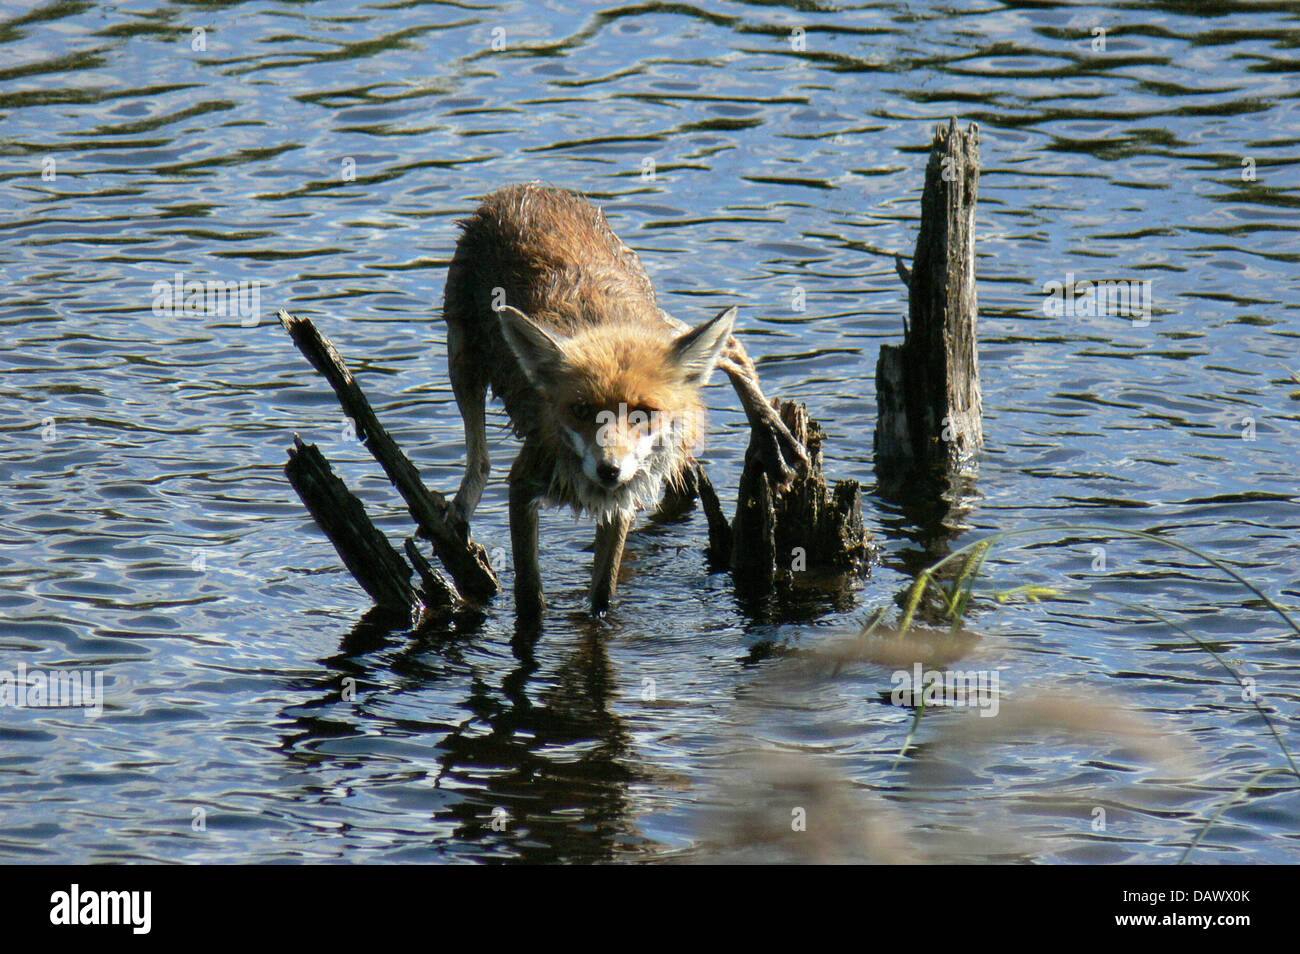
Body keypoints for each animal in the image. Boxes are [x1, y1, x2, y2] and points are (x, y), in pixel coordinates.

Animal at [442, 183, 807, 619]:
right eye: (581, 411)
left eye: (644, 413)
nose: (609, 470)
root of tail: (524, 189)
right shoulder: (524, 482)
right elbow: (530, 593)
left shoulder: (623, 500)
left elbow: (603, 592)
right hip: (462, 358)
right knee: (478, 456)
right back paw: (460, 509)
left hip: (665, 331)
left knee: (730, 346)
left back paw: (771, 436)